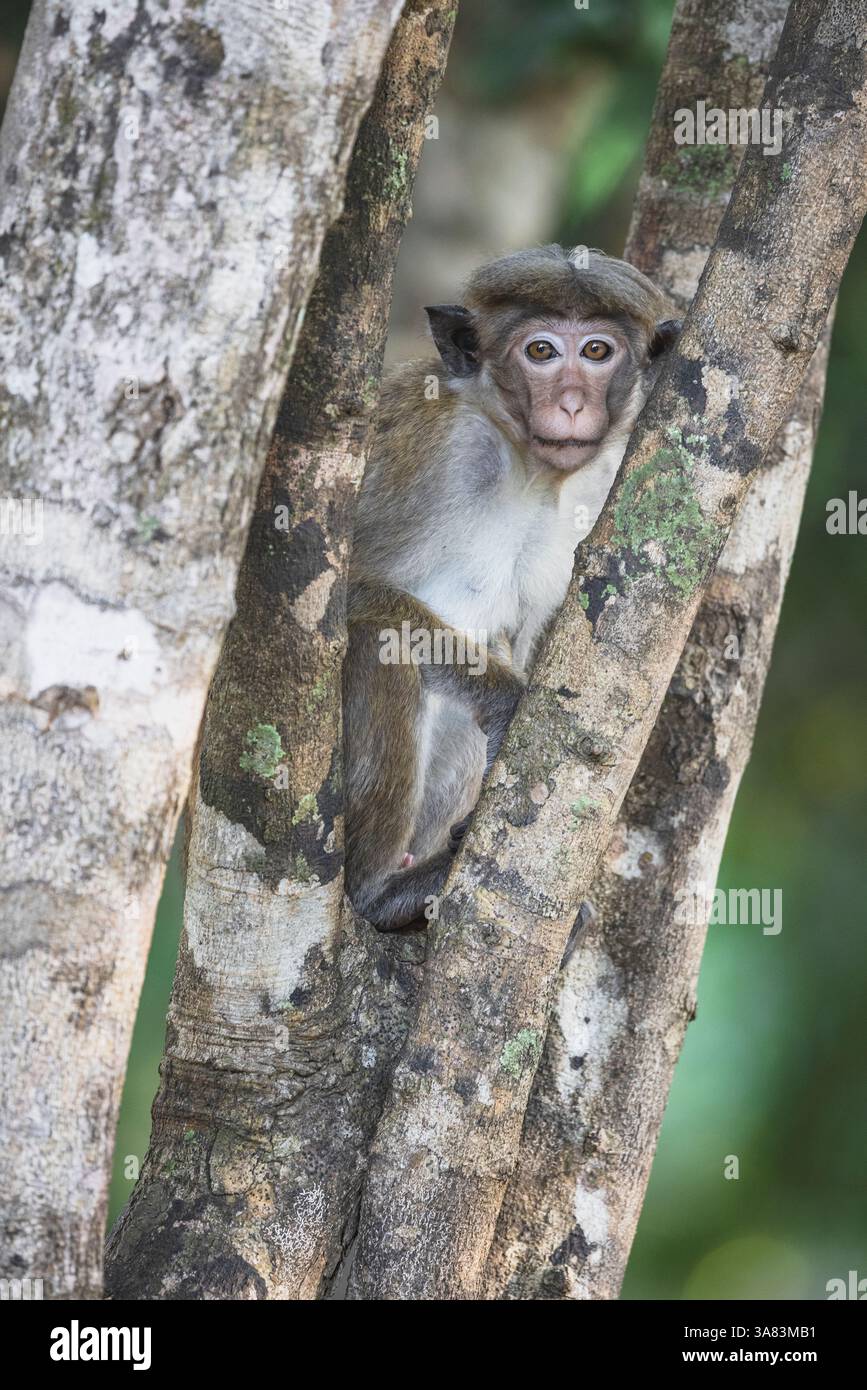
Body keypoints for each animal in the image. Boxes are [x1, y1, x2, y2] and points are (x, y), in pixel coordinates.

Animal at [343, 245, 680, 930]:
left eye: (597, 351)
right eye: (541, 351)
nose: (573, 403)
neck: (527, 468)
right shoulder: (426, 445)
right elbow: (336, 594)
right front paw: (506, 704)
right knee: (379, 645)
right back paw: (381, 890)